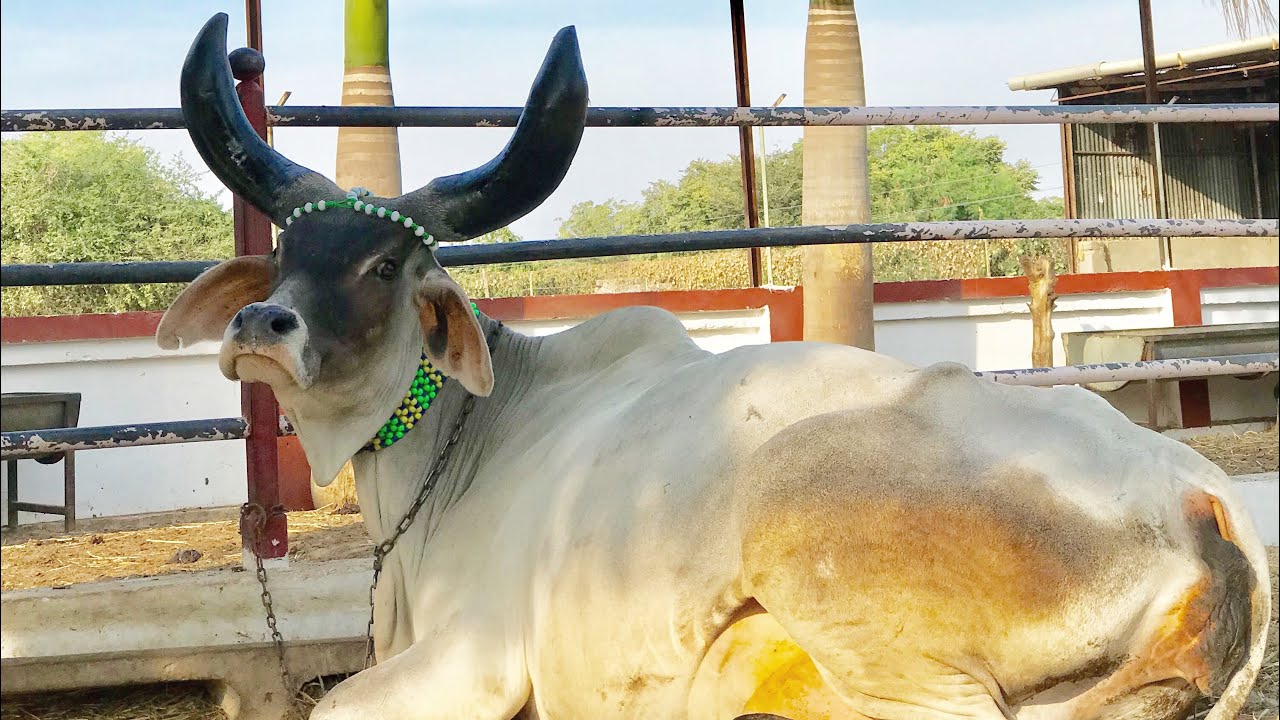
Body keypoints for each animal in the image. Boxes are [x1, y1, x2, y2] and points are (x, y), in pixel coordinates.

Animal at [159, 14, 1270, 720]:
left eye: (385, 263)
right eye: (289, 249)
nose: (260, 324)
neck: (463, 446)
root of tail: (1199, 493)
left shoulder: (475, 664)